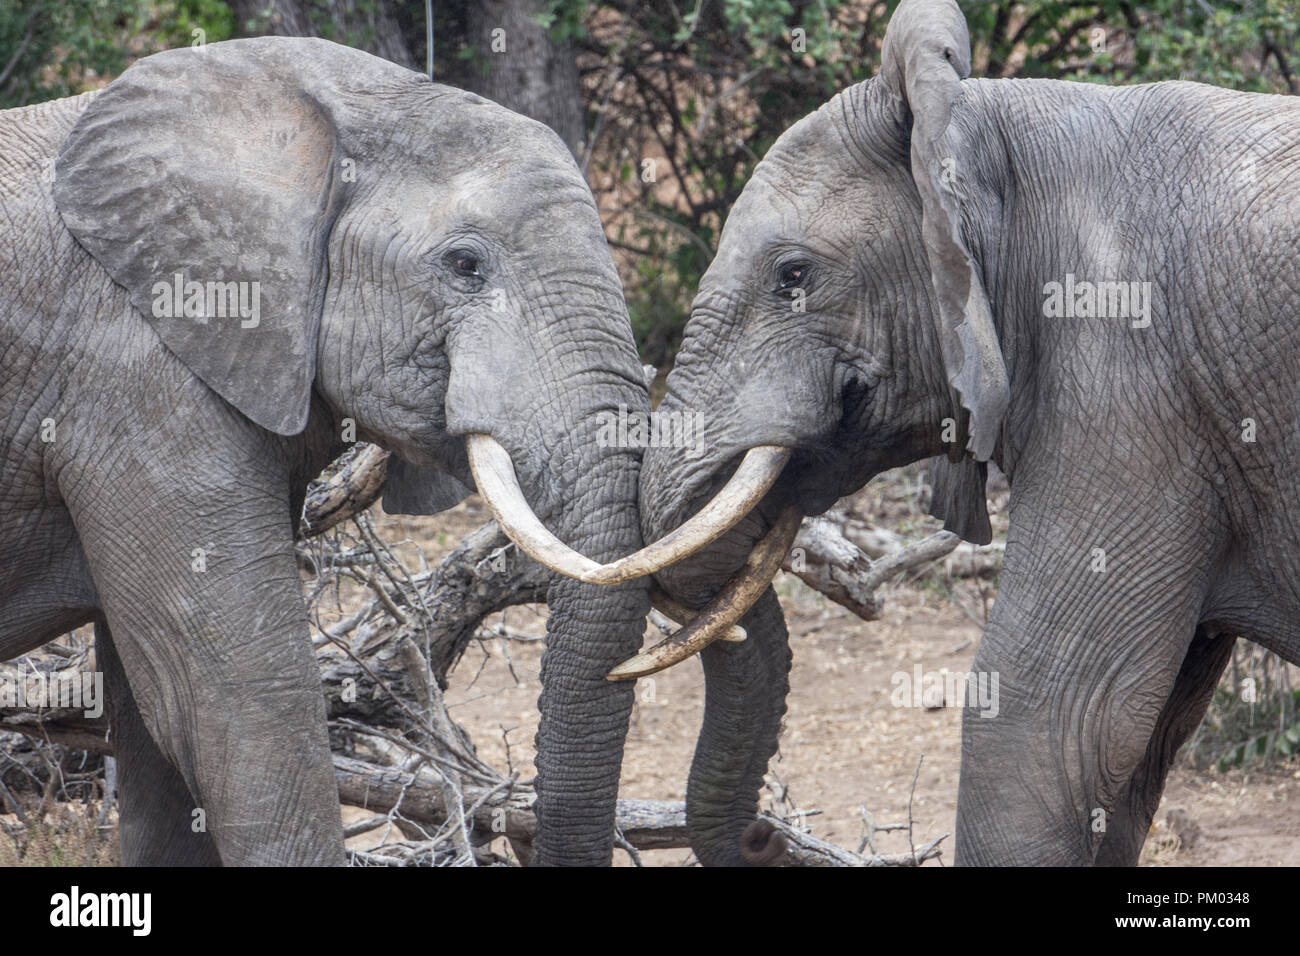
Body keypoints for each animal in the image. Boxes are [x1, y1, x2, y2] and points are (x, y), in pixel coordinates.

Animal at [630, 0, 1300, 865]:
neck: (982, 123)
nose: (769, 834)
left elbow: (1043, 727)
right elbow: (1125, 751)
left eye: (793, 277)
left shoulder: (1131, 389)